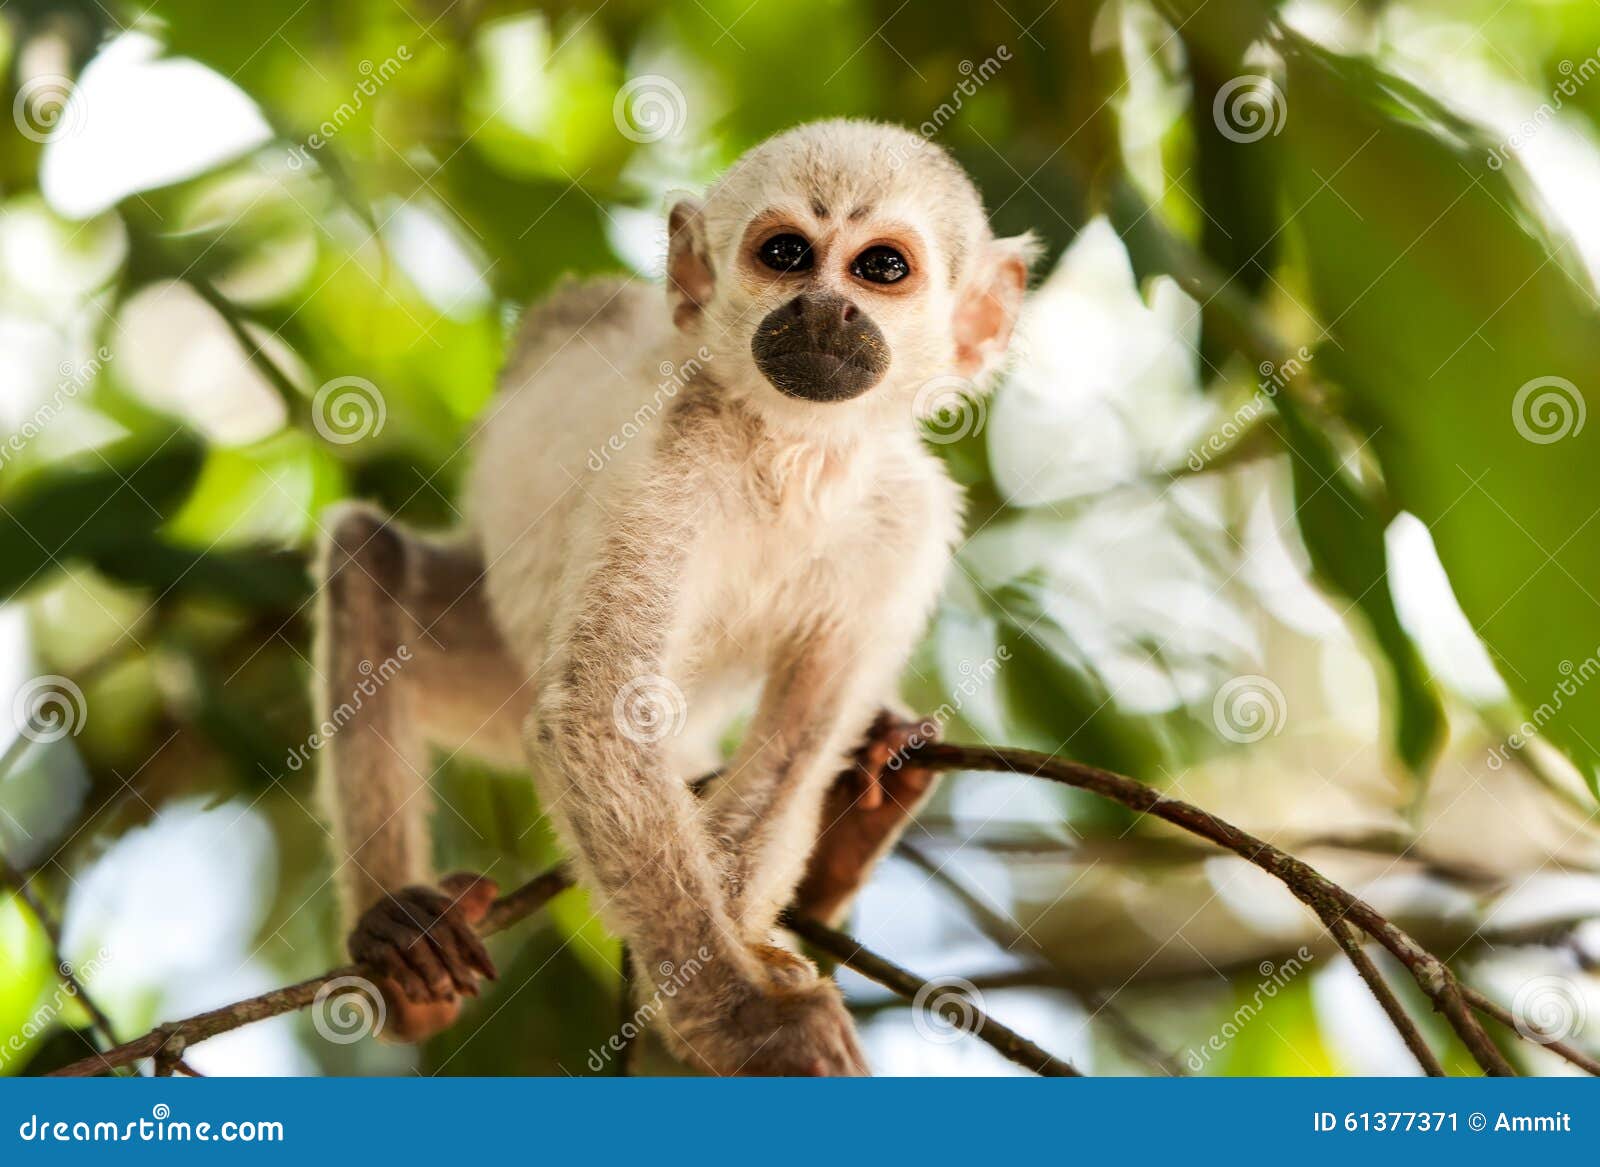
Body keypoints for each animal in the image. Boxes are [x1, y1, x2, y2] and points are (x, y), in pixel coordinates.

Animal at [314, 119, 1035, 1075]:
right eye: (785, 253)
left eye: (882, 268)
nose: (824, 307)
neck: (794, 457)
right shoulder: (666, 461)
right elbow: (597, 714)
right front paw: (749, 1019)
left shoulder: (910, 521)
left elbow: (791, 745)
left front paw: (750, 962)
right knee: (370, 558)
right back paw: (400, 937)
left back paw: (853, 825)